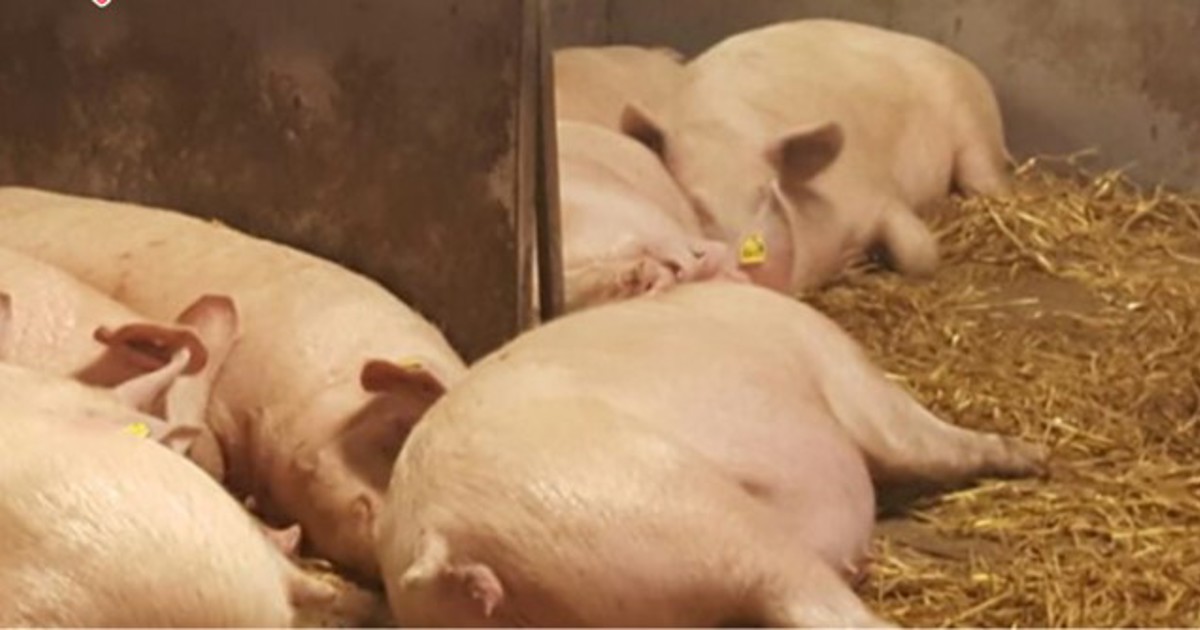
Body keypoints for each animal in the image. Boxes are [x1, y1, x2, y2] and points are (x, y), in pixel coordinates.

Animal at [376, 282, 1047, 627]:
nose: (1044, 457)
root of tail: (446, 532)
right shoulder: (857, 388)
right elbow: (930, 443)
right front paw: (1033, 457)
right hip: (689, 518)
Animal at [621, 19, 1013, 294]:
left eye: (766, 193)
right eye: (693, 204)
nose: (743, 273)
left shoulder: (875, 193)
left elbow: (920, 254)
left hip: (973, 126)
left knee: (986, 180)